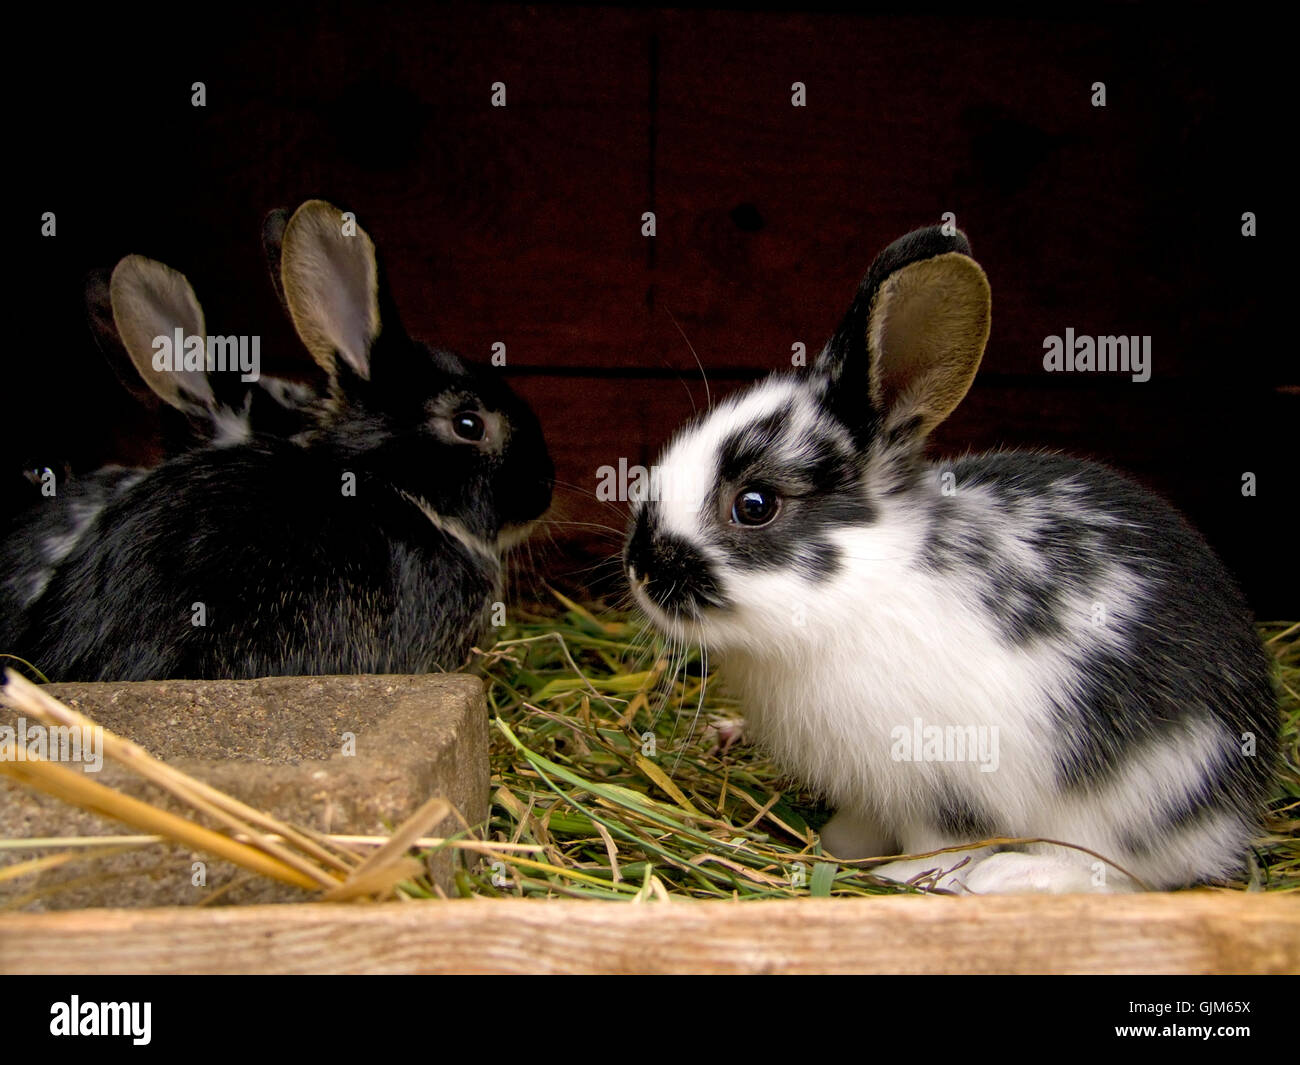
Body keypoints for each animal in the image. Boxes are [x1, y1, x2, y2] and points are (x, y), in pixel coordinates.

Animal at [623, 225, 1277, 894]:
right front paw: (838, 847)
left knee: (1115, 873)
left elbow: (941, 843)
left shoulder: (948, 783)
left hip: (1137, 796)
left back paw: (1009, 876)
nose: (640, 567)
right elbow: (863, 821)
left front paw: (903, 879)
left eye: (754, 505)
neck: (856, 596)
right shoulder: (872, 788)